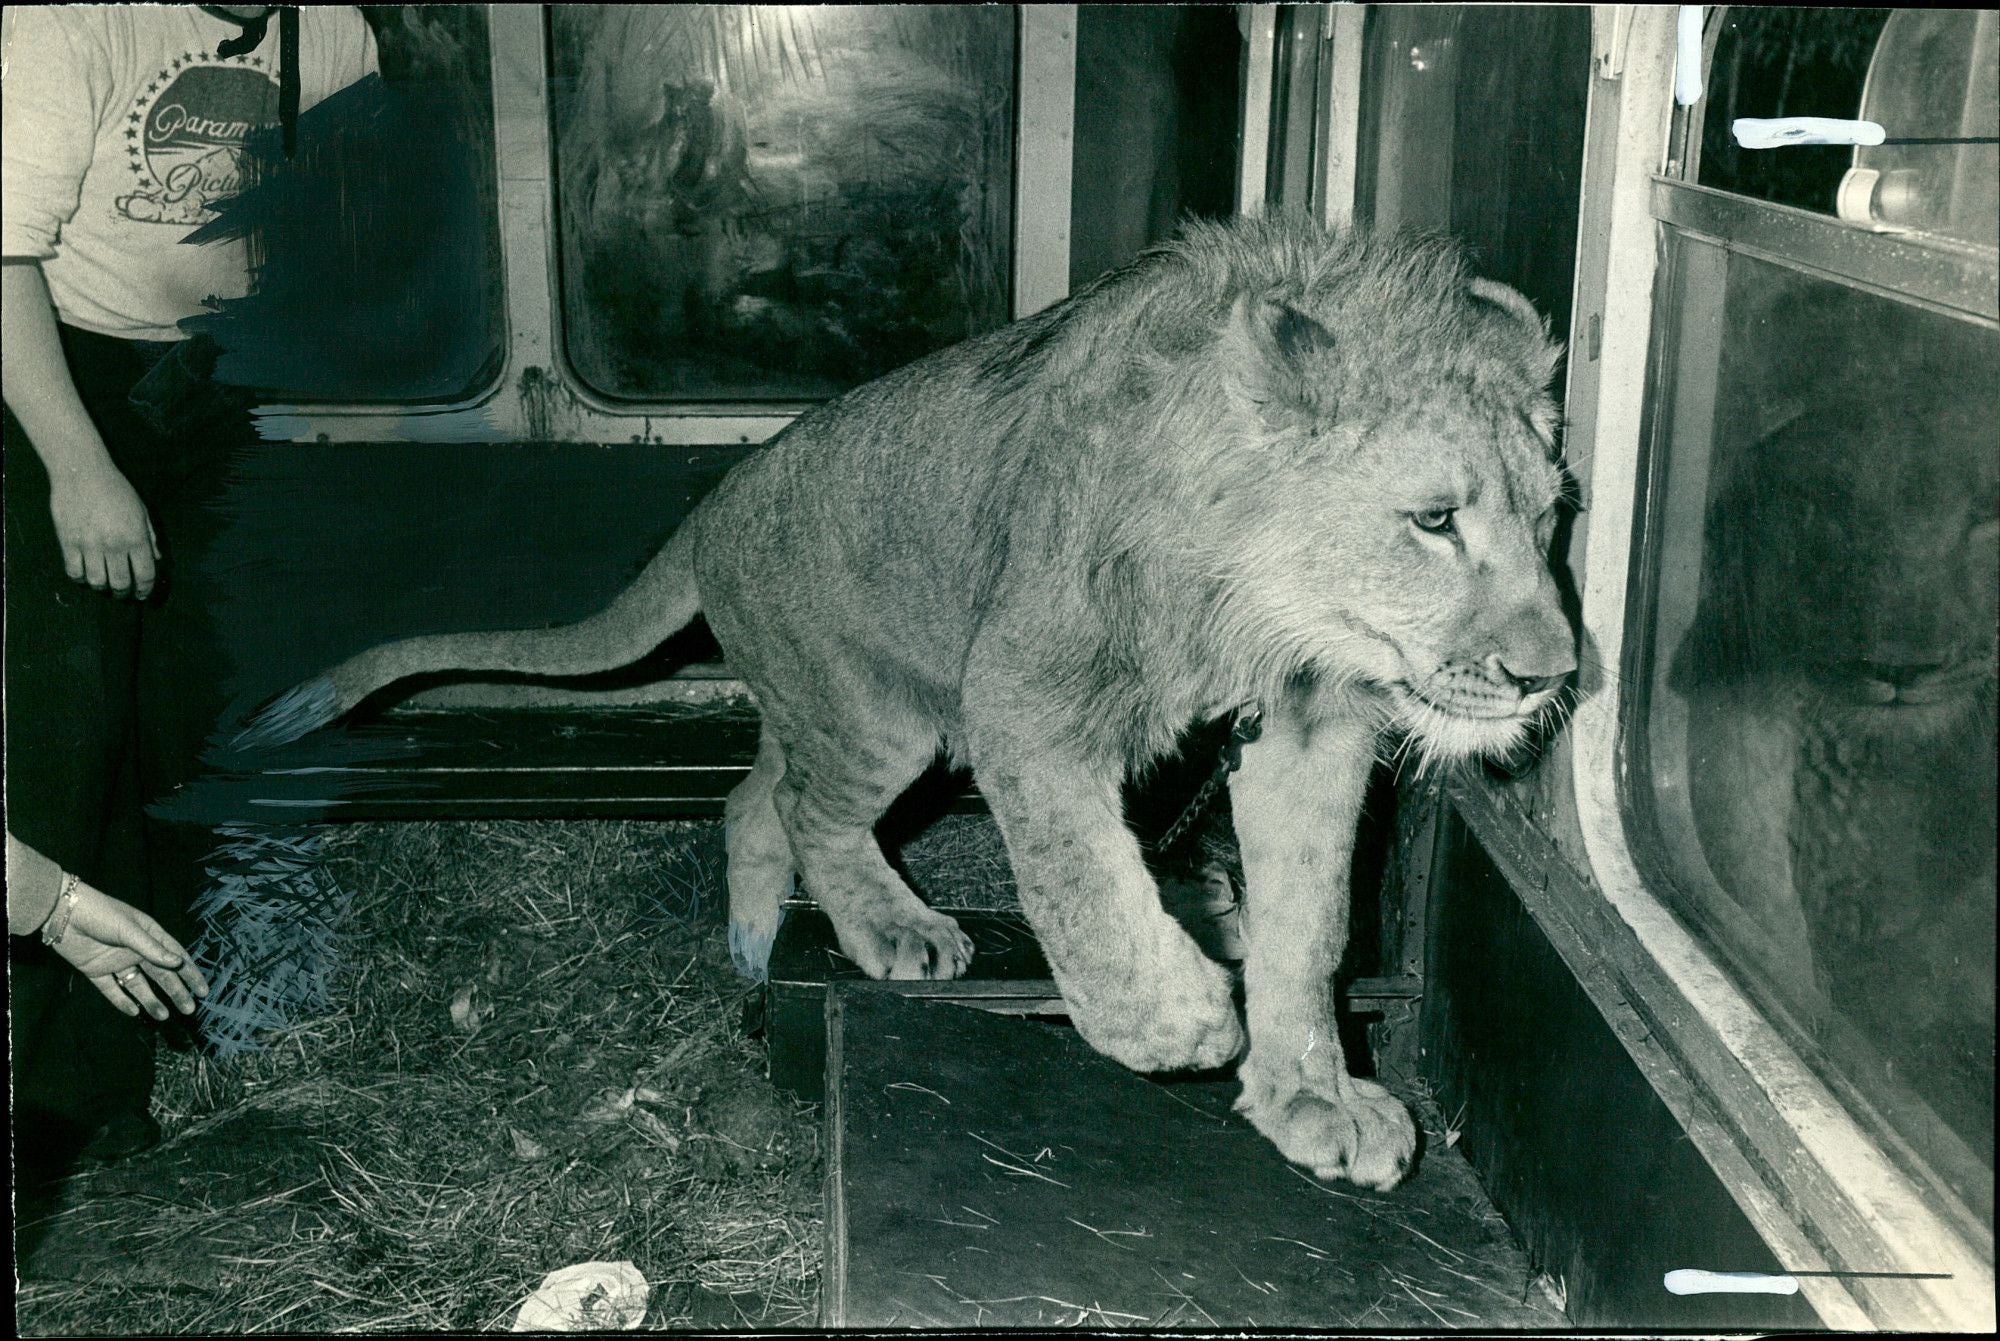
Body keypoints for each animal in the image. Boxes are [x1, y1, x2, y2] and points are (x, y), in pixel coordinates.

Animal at [245, 216, 1576, 1189]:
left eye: (1549, 515)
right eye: (1433, 520)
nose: (1553, 674)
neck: (1262, 603)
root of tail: (711, 507)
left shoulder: (1309, 723)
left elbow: (1311, 924)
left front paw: (1309, 1094)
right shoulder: (1021, 687)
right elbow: (1078, 866)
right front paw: (1164, 1017)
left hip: (835, 710)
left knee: (753, 795)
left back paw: (756, 940)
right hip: (885, 718)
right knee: (805, 806)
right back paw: (894, 930)